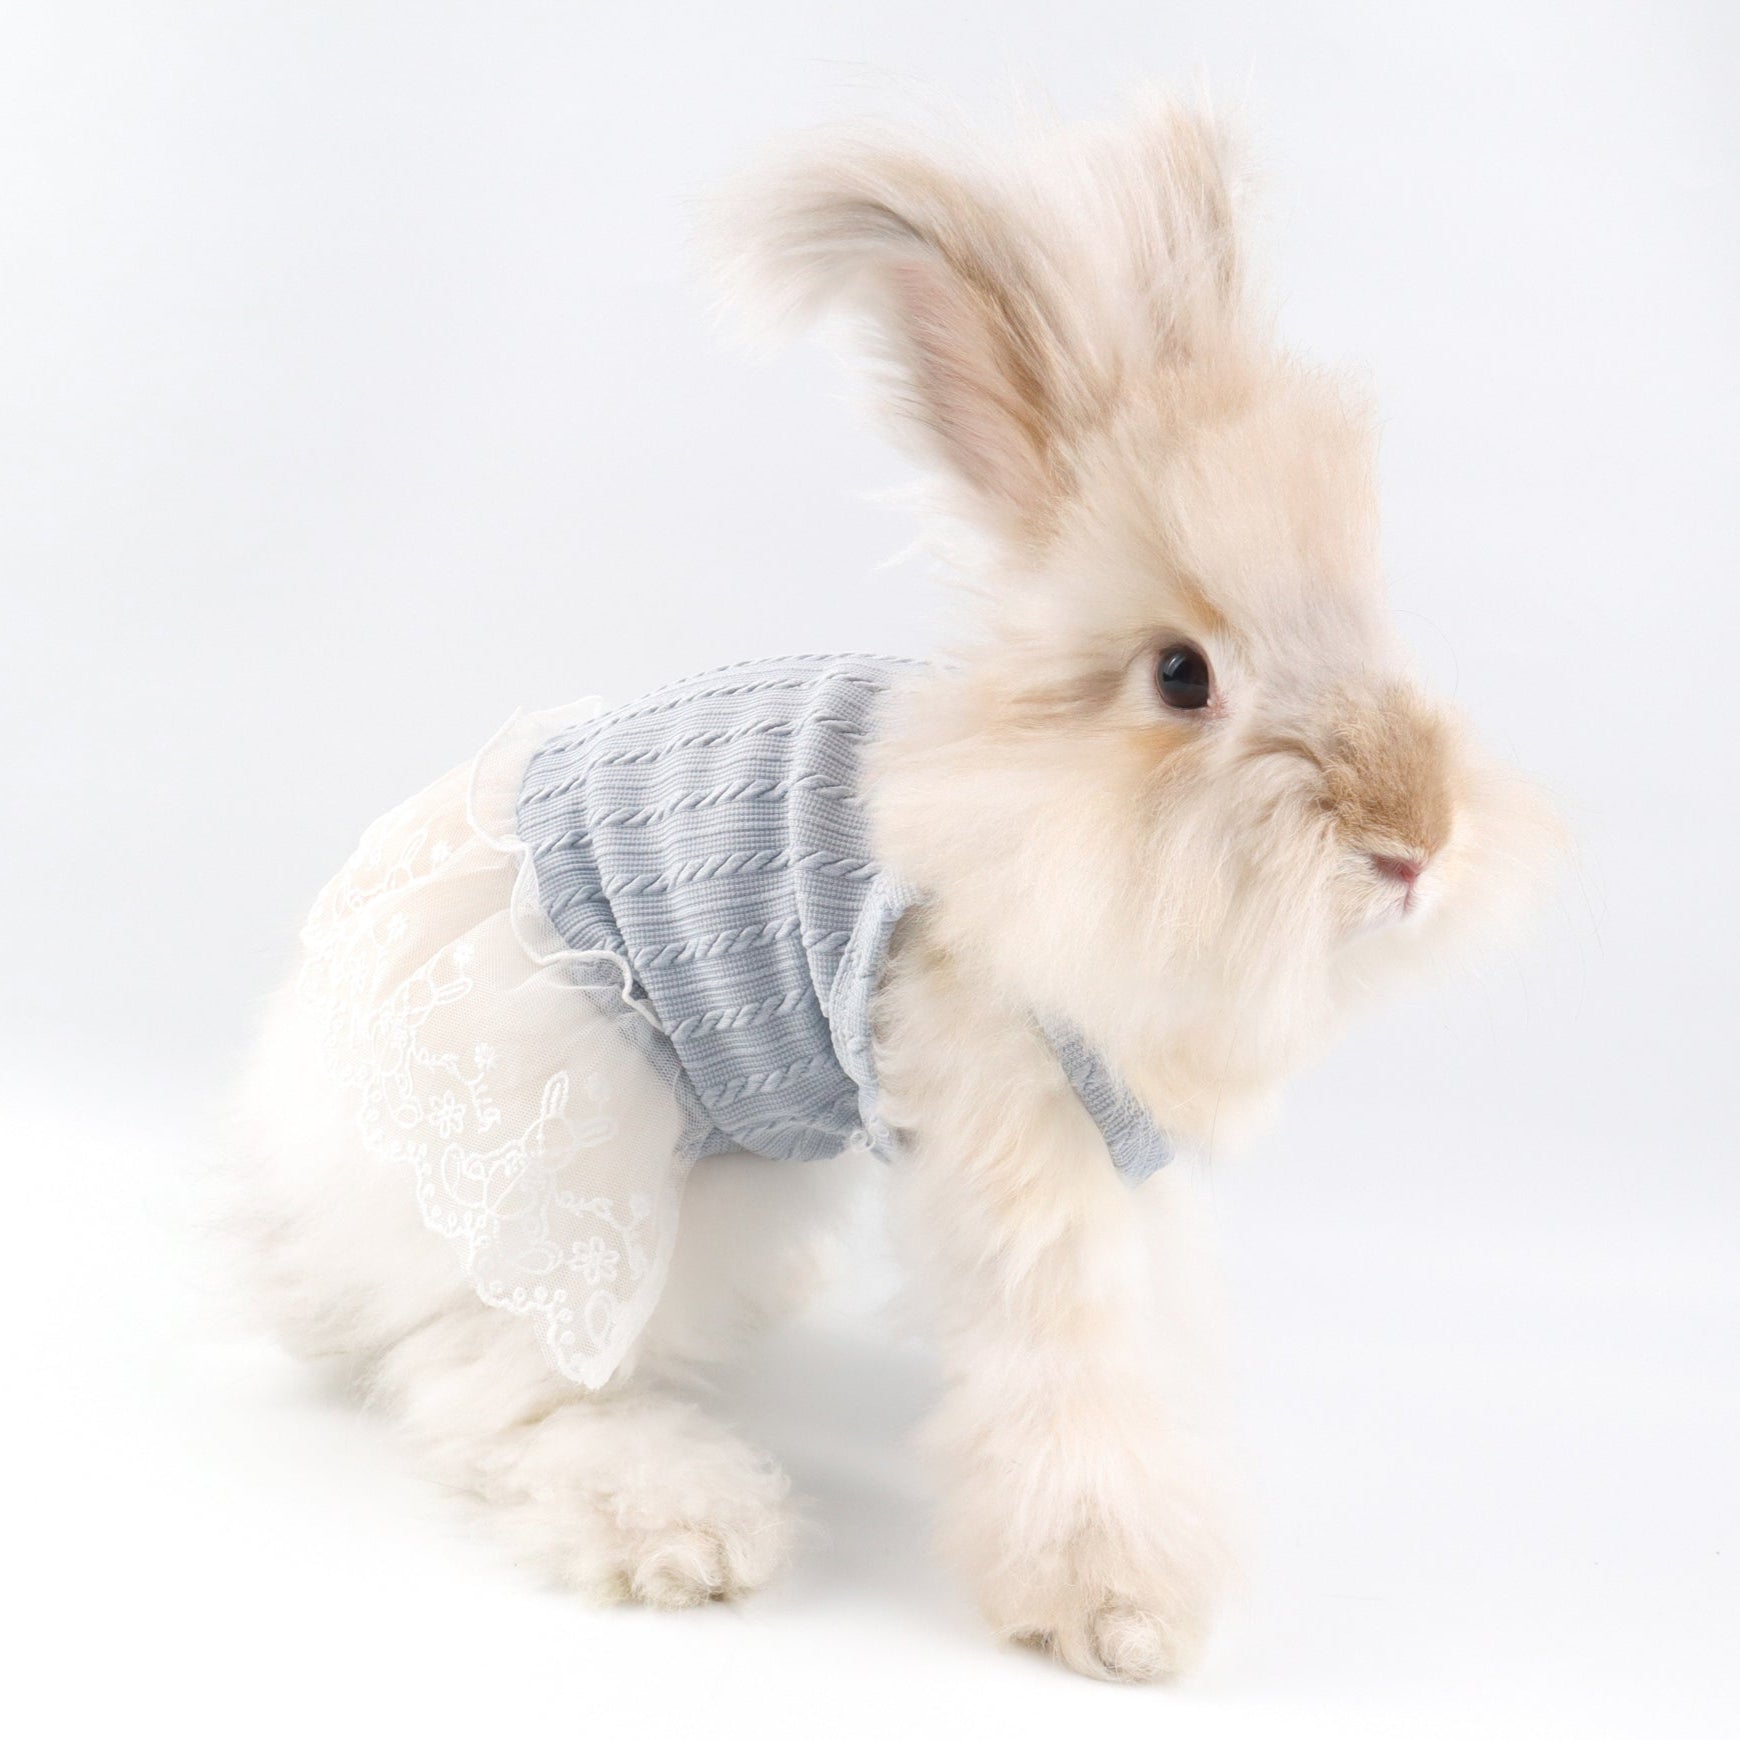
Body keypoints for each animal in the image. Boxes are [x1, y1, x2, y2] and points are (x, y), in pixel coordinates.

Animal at [234, 102, 1557, 1683]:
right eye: (1182, 676)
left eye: (1371, 622)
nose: (1416, 845)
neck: (1028, 822)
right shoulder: (1028, 1160)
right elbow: (1066, 1390)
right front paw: (1121, 1614)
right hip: (566, 1174)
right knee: (492, 1386)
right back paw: (687, 1522)